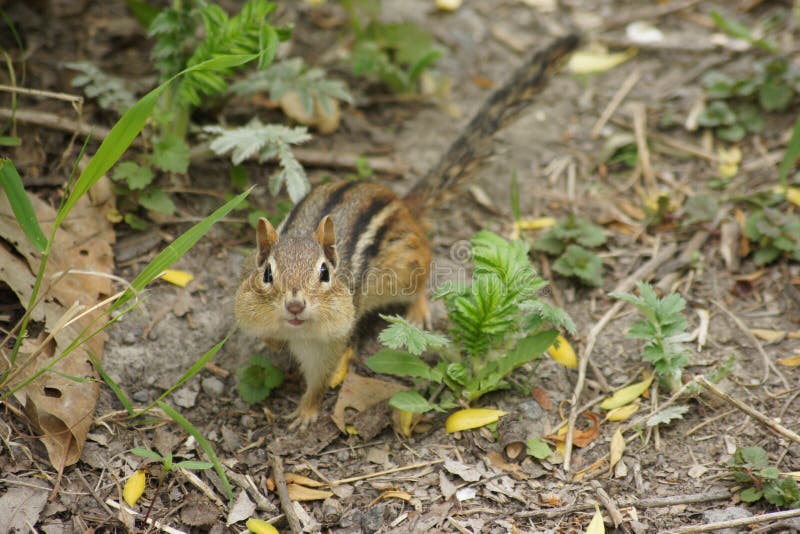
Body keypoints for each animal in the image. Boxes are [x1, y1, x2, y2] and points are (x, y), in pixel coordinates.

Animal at [235, 34, 579, 429]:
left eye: (324, 273)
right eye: (266, 274)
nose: (294, 305)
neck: (295, 330)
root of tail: (401, 203)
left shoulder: (329, 342)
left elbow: (320, 379)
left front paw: (306, 413)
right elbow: (267, 336)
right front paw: (276, 346)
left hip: (403, 268)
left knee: (421, 280)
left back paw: (417, 311)